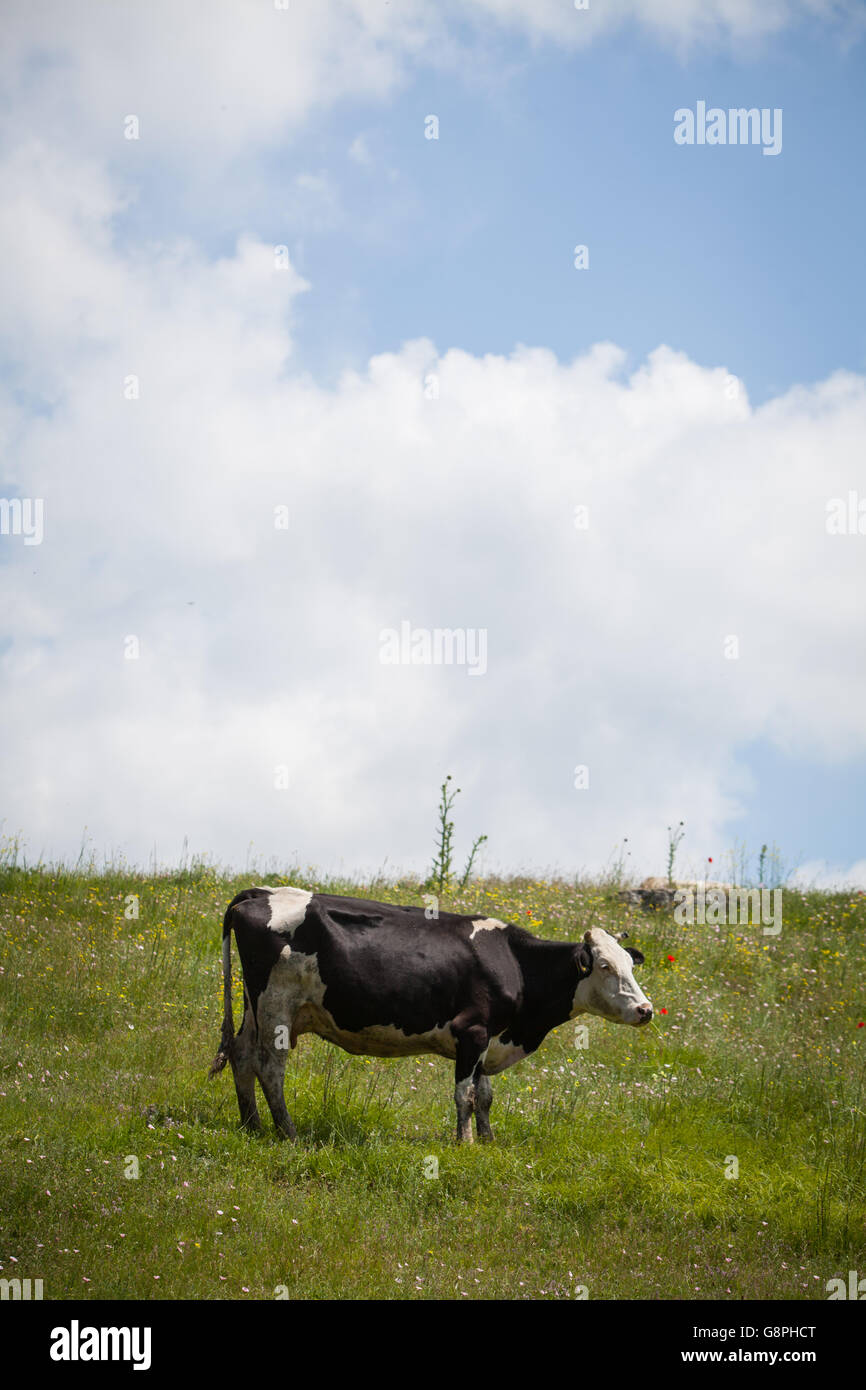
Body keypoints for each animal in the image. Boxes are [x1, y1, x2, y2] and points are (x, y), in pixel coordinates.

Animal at [209, 886, 652, 1142]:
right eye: (605, 967)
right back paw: (288, 1133)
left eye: (630, 965)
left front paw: (488, 1143)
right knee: (270, 1066)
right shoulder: (472, 1031)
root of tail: (260, 891)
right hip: (277, 1005)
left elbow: (485, 1096)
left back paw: (251, 1125)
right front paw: (465, 1144)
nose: (646, 1009)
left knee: (242, 1055)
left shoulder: (488, 1039)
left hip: (255, 1008)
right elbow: (466, 1095)